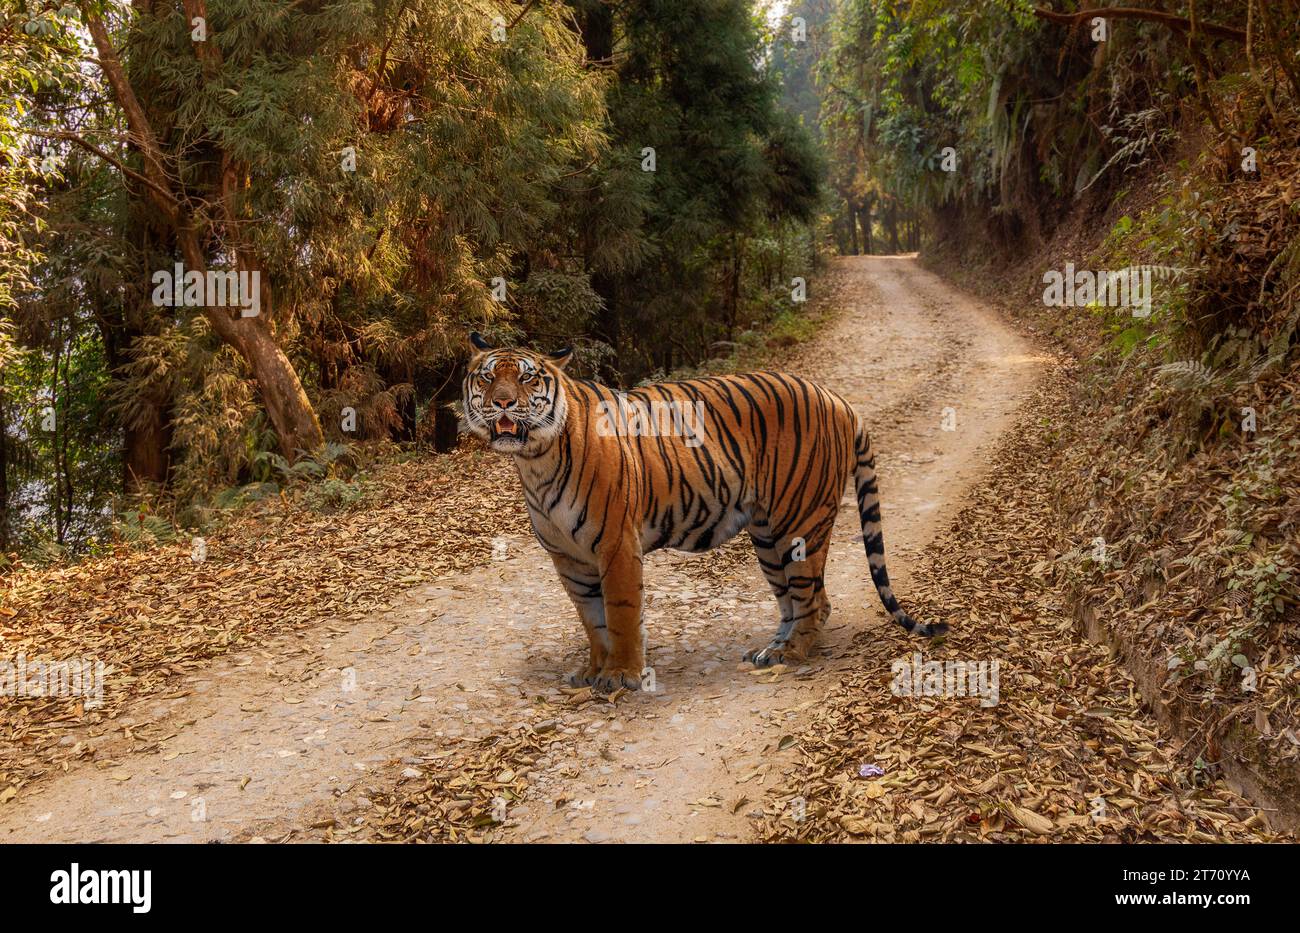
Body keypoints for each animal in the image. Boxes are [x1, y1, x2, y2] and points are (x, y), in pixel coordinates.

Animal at [462, 331, 946, 692]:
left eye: (528, 380)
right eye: (486, 378)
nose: (502, 402)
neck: (535, 460)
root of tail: (837, 398)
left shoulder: (616, 545)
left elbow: (619, 613)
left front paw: (622, 675)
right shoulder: (569, 558)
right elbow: (591, 619)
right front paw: (594, 670)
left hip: (799, 521)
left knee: (814, 598)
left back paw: (792, 654)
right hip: (767, 536)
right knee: (793, 599)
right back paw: (769, 650)